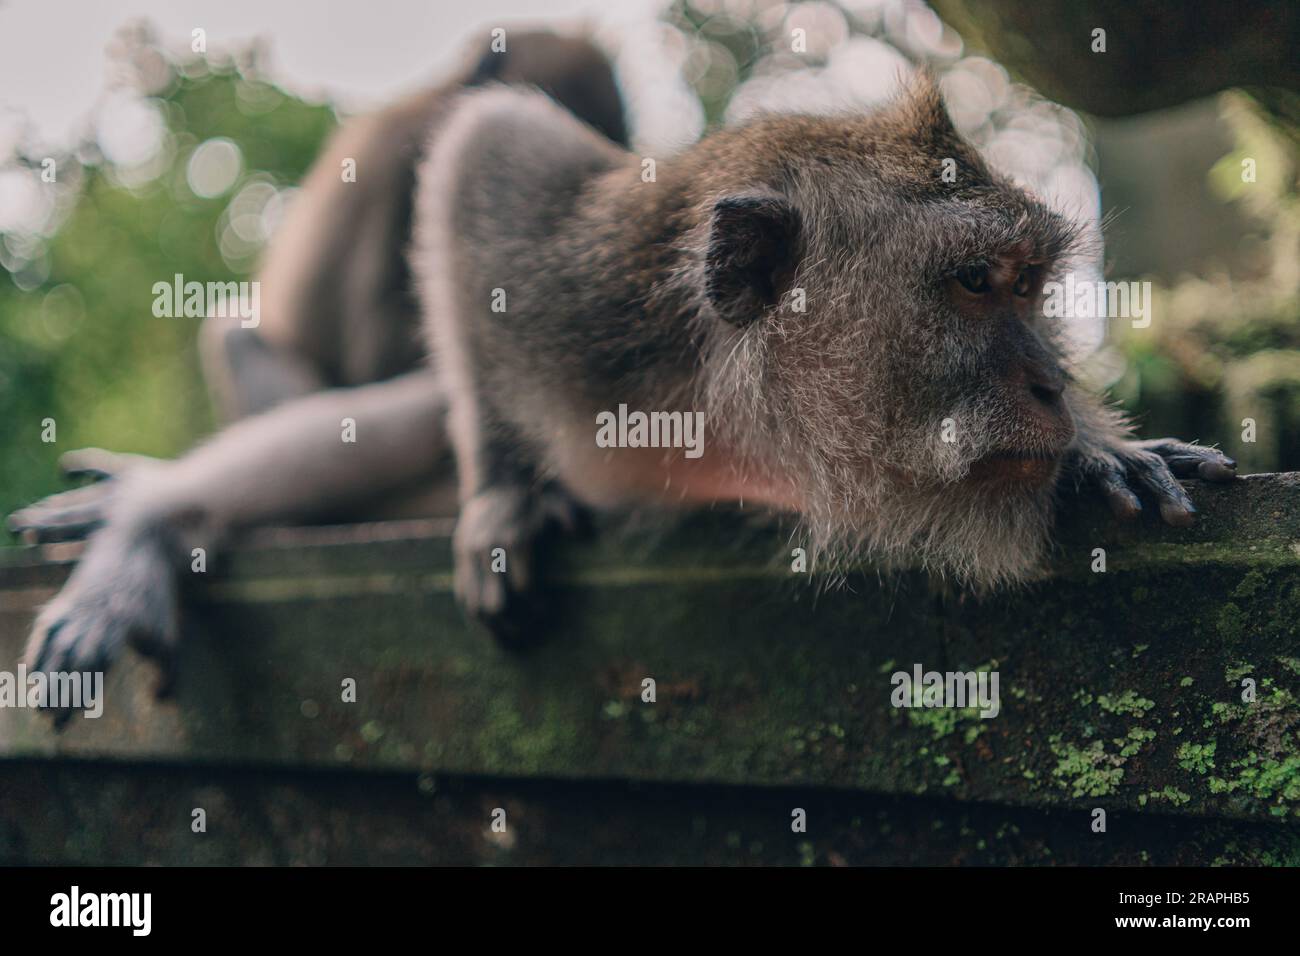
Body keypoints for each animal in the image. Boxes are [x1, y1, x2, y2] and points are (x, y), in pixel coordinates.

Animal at [11, 59, 1236, 705]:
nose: (1051, 388)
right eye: (976, 285)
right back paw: (149, 516)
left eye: (1029, 285)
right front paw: (503, 502)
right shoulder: (591, 293)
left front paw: (1103, 446)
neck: (743, 411)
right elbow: (485, 156)